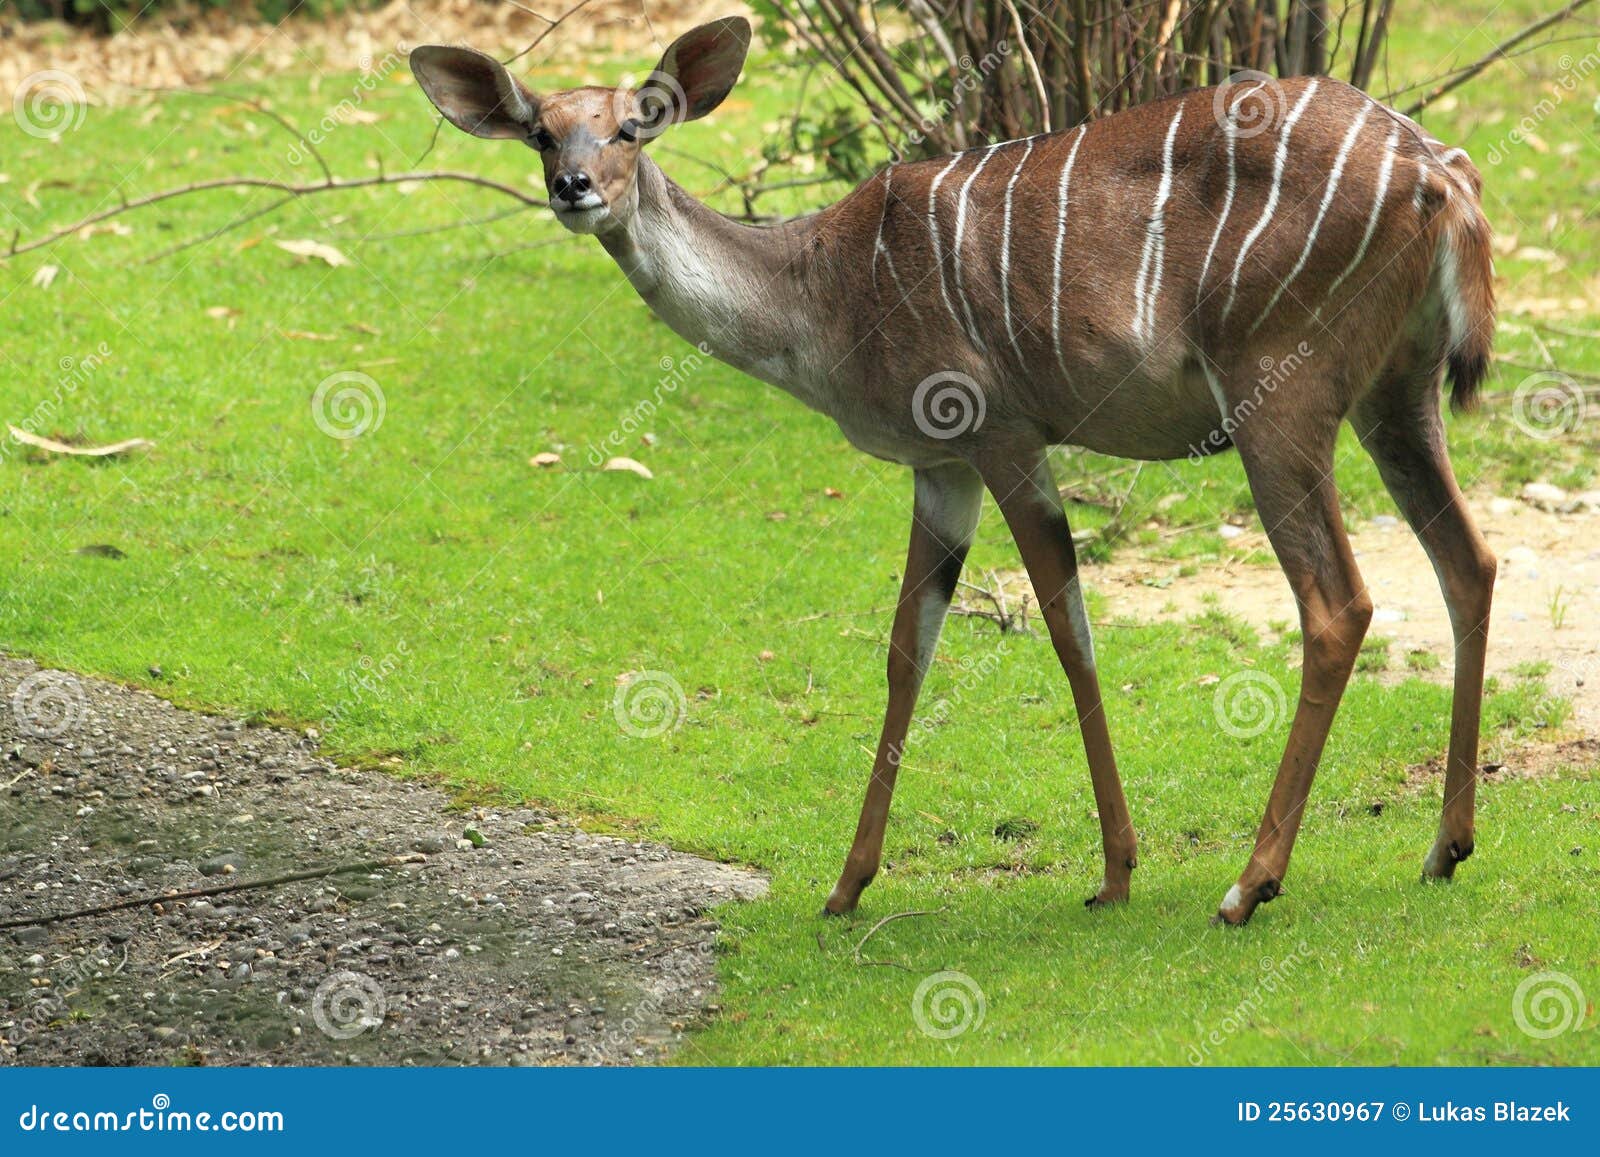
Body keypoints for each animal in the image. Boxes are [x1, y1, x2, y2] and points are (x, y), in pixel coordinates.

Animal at [410, 17, 1497, 925]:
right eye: (540, 132)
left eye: (635, 125)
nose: (575, 188)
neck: (822, 302)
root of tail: (1439, 173)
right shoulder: (938, 468)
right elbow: (908, 647)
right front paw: (846, 884)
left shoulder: (995, 428)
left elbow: (1066, 628)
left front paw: (1115, 872)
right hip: (1394, 390)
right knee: (1467, 561)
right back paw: (1443, 847)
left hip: (1280, 391)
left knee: (1339, 603)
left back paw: (1248, 884)